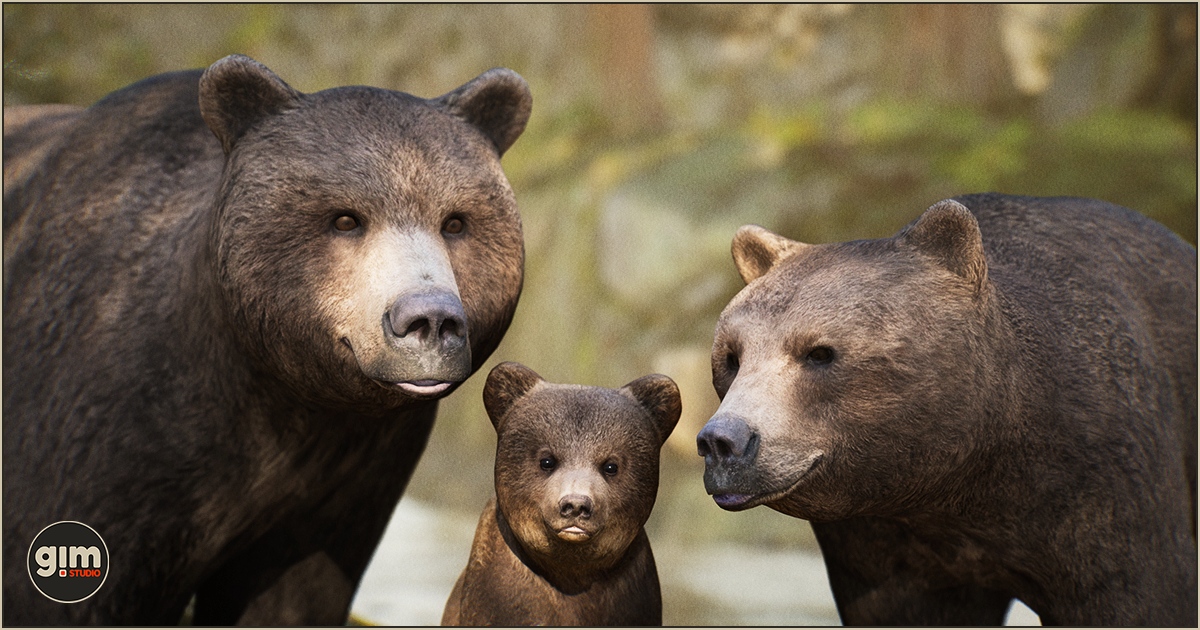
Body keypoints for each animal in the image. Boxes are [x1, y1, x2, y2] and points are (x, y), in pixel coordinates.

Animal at [3, 54, 530, 625]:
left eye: (455, 222)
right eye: (345, 219)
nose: (429, 320)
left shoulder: (342, 491)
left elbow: (292, 598)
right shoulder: (99, 439)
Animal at [441, 362, 681, 626]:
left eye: (611, 465)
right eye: (547, 460)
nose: (576, 505)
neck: (571, 576)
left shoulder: (631, 599)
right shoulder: (501, 595)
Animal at [696, 194, 1197, 626]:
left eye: (819, 352)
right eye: (731, 357)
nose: (723, 441)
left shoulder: (1100, 490)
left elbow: (1137, 594)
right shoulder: (879, 546)